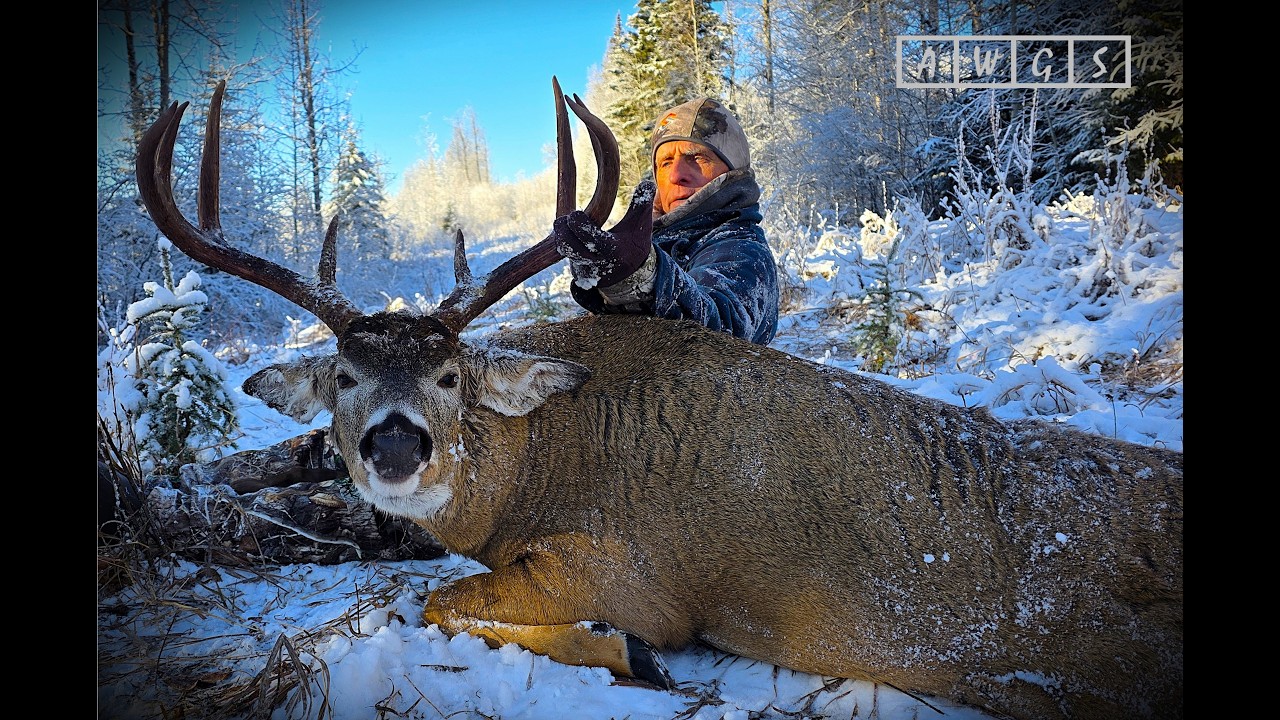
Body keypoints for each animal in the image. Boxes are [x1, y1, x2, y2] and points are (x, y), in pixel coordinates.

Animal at [136, 79, 1183, 720]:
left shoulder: (628, 569)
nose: (396, 449)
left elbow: (440, 600)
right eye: (346, 377)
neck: (537, 464)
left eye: (450, 376)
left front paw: (629, 655)